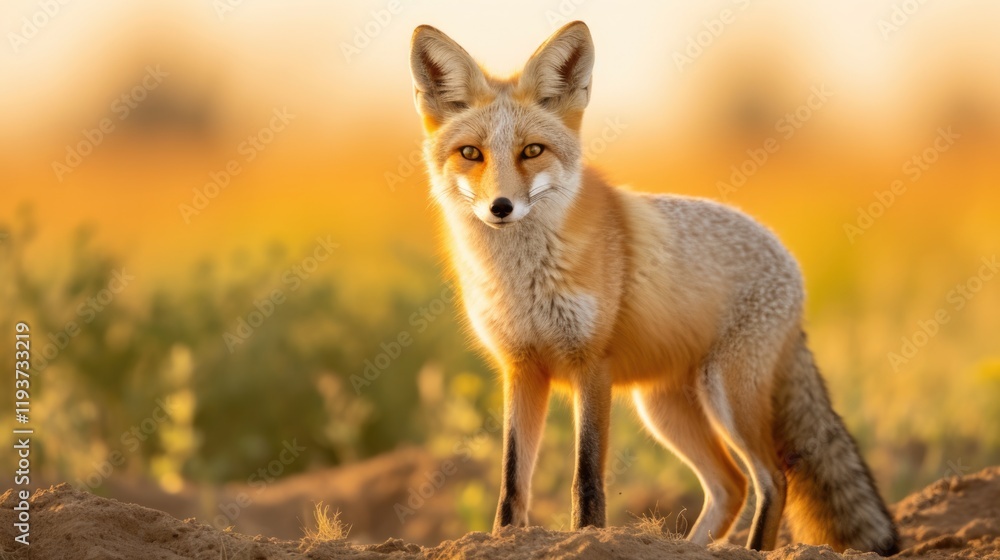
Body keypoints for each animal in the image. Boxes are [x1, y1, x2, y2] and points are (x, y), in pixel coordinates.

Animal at [408, 21, 899, 554]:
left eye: (532, 151)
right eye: (471, 153)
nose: (501, 207)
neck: (521, 279)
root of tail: (787, 256)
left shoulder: (591, 365)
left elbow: (587, 479)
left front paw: (590, 539)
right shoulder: (521, 368)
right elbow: (512, 482)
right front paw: (505, 540)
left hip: (726, 394)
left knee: (772, 479)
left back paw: (753, 550)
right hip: (665, 409)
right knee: (731, 486)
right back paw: (694, 548)